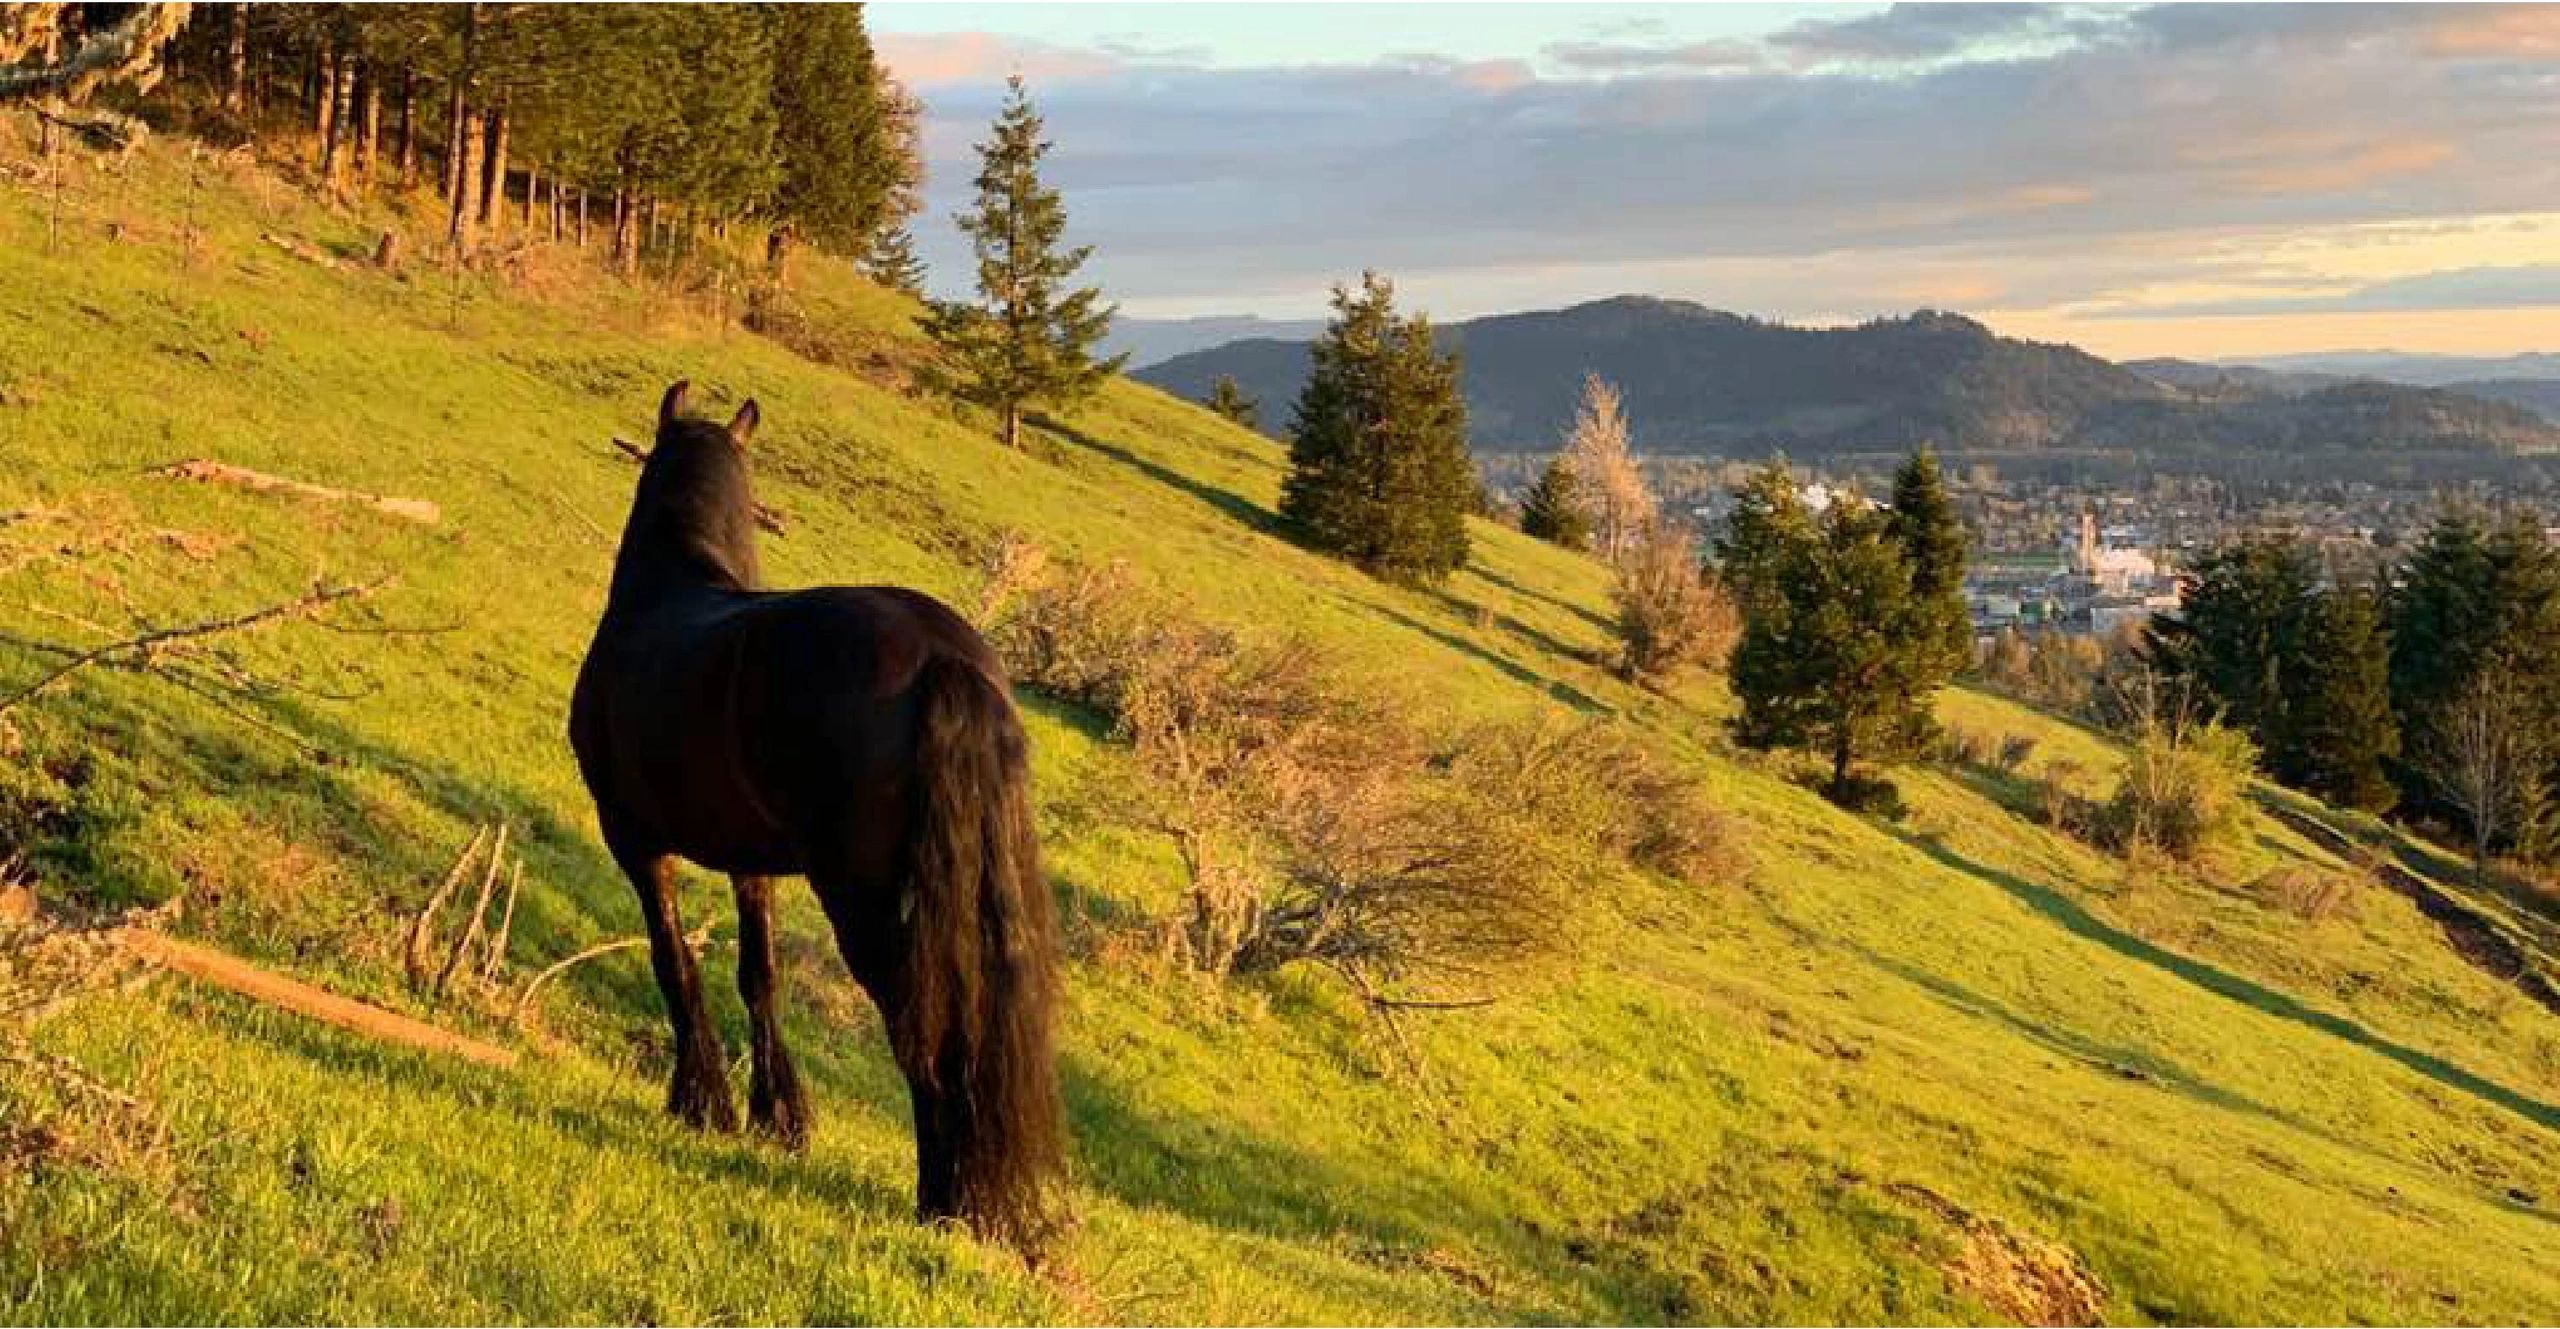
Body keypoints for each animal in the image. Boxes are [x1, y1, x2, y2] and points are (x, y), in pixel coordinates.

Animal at [569, 381, 1062, 1248]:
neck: (667, 591)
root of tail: (941, 659)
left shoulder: (632, 838)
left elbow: (674, 958)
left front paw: (699, 1100)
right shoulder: (751, 864)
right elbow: (758, 974)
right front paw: (777, 1115)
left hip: (867, 904)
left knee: (921, 1025)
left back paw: (946, 1198)